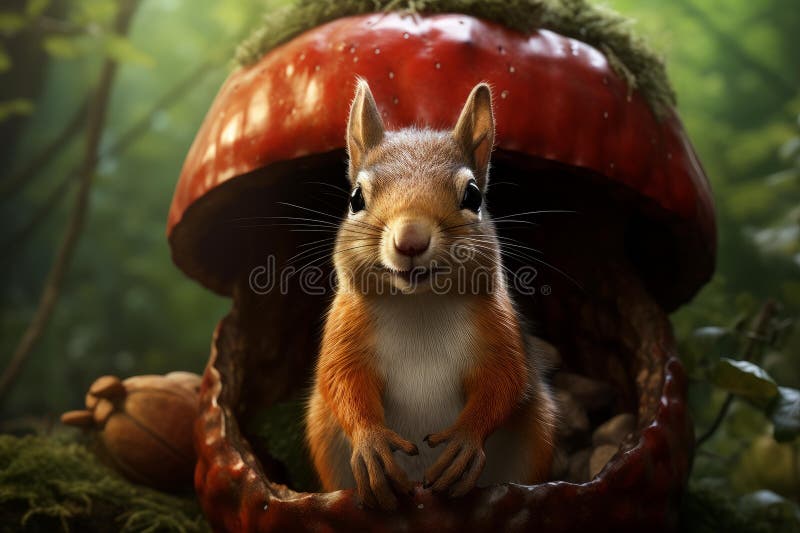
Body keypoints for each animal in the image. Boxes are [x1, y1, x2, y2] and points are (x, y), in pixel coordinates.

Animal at [305, 79, 557, 510]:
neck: (418, 303)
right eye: (356, 198)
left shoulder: (499, 330)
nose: (410, 239)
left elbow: (504, 381)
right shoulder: (345, 332)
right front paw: (372, 443)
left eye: (472, 195)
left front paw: (464, 443)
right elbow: (341, 381)